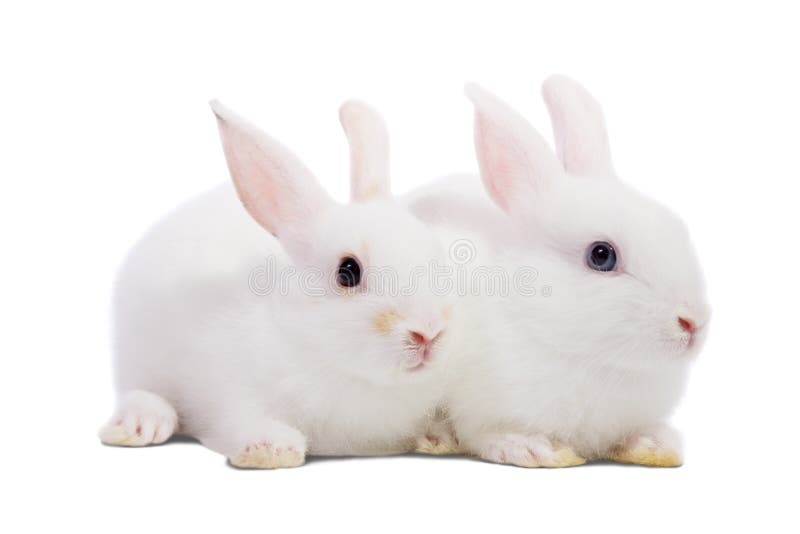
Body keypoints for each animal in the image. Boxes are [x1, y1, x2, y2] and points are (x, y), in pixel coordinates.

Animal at [99, 98, 456, 468]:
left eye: (437, 257)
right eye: (347, 272)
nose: (428, 332)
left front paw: (440, 439)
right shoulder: (228, 395)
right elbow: (239, 420)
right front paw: (272, 449)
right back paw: (141, 423)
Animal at [403, 76, 711, 467]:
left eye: (676, 228)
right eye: (601, 255)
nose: (693, 322)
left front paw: (654, 445)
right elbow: (487, 433)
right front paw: (533, 448)